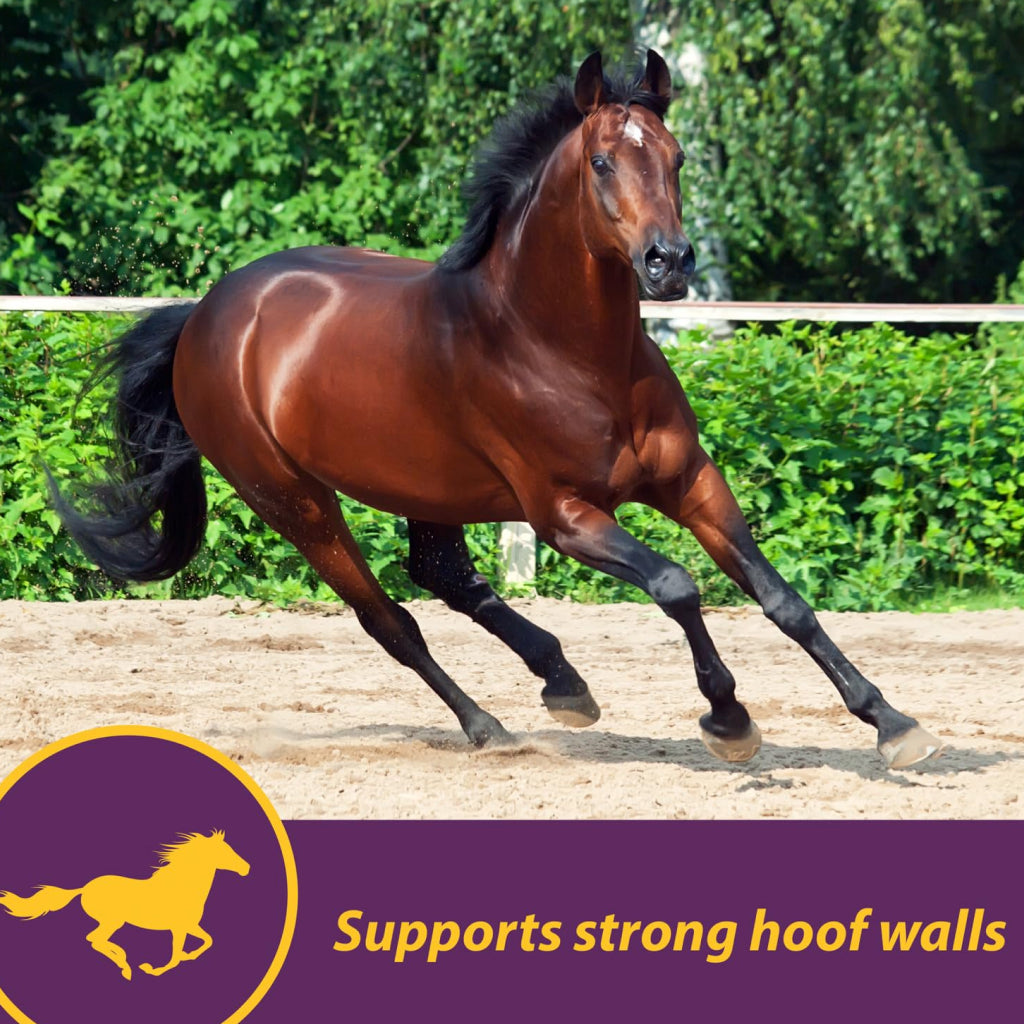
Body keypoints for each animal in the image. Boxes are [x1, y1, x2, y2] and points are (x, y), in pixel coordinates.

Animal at [0, 830, 249, 979]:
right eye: (225, 851)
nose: (246, 868)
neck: (182, 887)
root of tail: (84, 888)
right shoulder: (178, 928)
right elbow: (175, 956)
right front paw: (153, 969)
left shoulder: (189, 926)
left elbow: (207, 941)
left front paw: (188, 956)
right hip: (113, 921)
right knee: (95, 939)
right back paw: (125, 964)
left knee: (95, 940)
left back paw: (123, 960)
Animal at [52, 49, 940, 769]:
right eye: (604, 162)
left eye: (678, 158)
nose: (670, 263)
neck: (562, 349)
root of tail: (208, 314)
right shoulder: (564, 516)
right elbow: (677, 585)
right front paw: (729, 720)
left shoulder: (691, 481)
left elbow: (781, 598)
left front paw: (893, 723)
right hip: (292, 501)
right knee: (390, 618)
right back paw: (489, 727)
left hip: (424, 487)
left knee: (443, 575)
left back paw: (563, 682)